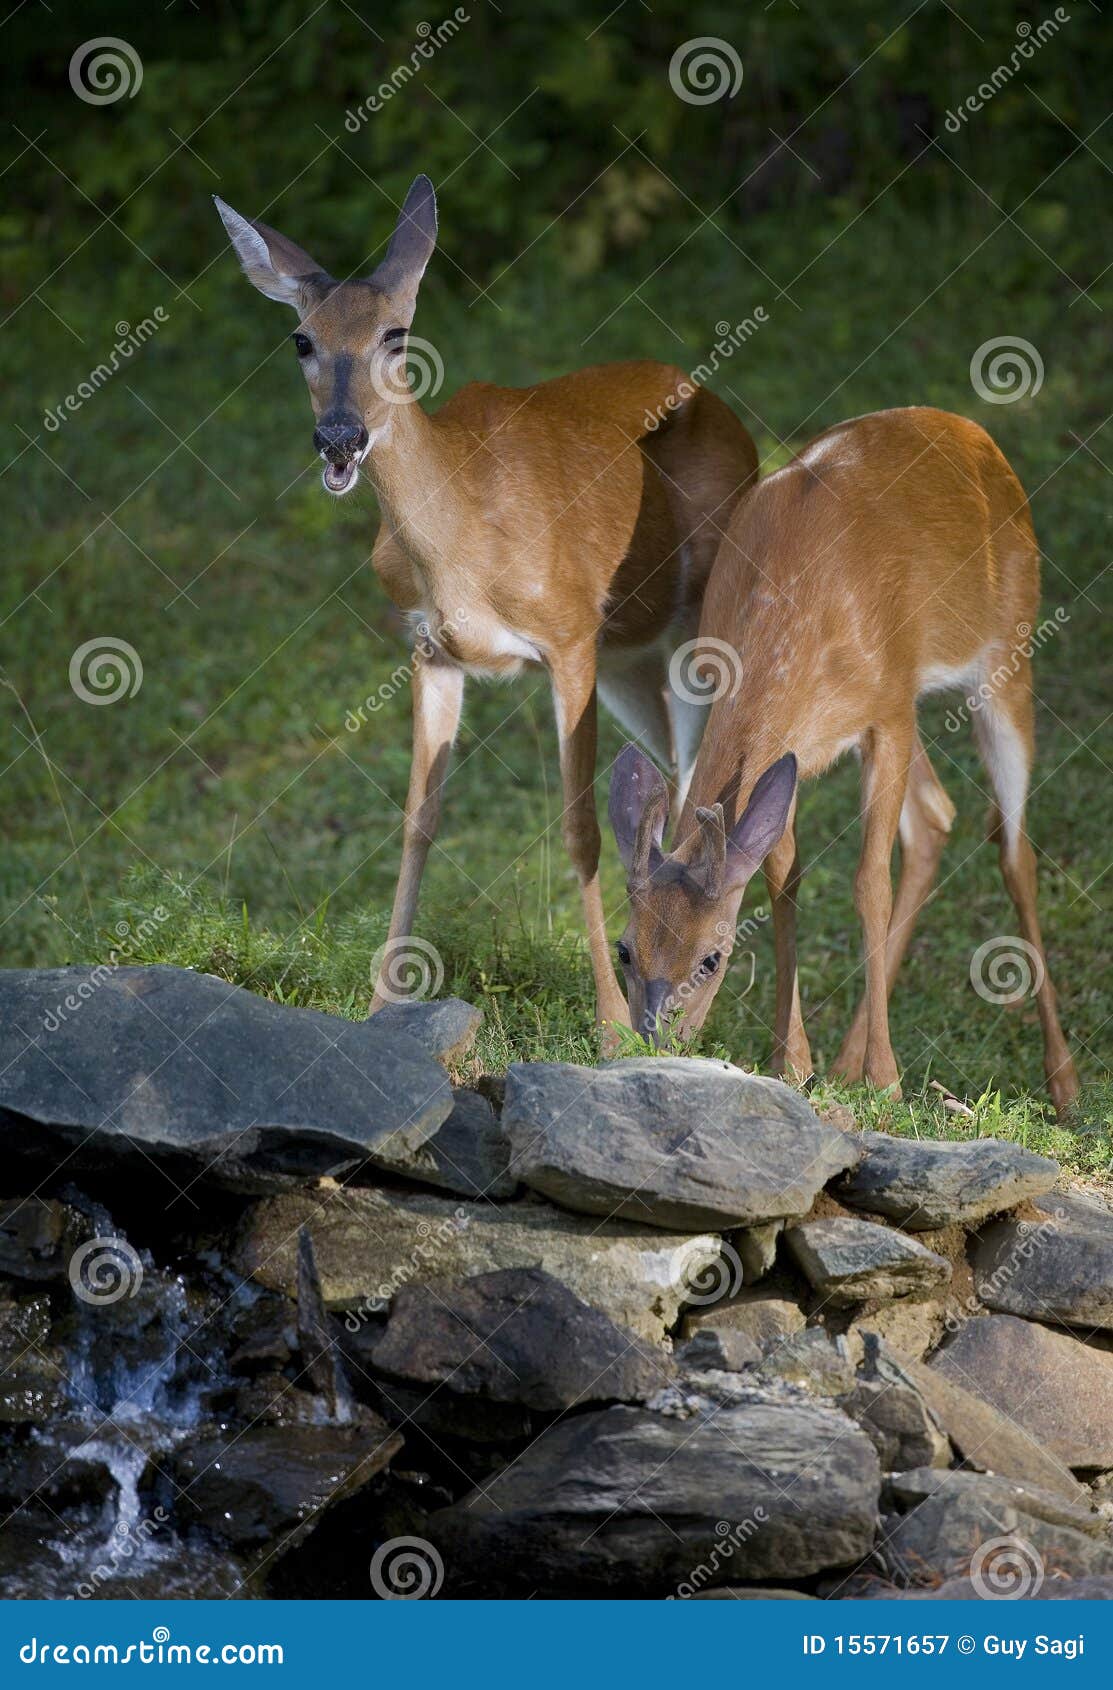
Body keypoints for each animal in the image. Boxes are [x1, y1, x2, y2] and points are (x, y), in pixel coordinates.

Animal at [214, 176, 758, 1035]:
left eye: (395, 335)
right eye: (300, 340)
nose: (339, 437)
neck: (462, 541)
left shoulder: (569, 636)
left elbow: (579, 827)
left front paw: (608, 1020)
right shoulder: (430, 650)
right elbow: (418, 819)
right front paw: (381, 1000)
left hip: (701, 622)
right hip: (634, 664)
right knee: (677, 780)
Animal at [608, 405, 1079, 1118]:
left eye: (713, 959)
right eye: (626, 949)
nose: (654, 1039)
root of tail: (970, 432)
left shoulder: (888, 713)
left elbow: (867, 883)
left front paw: (887, 1079)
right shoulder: (798, 752)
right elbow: (783, 875)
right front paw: (793, 1062)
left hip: (1006, 658)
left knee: (1012, 848)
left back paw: (1064, 1081)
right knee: (936, 815)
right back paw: (842, 1060)